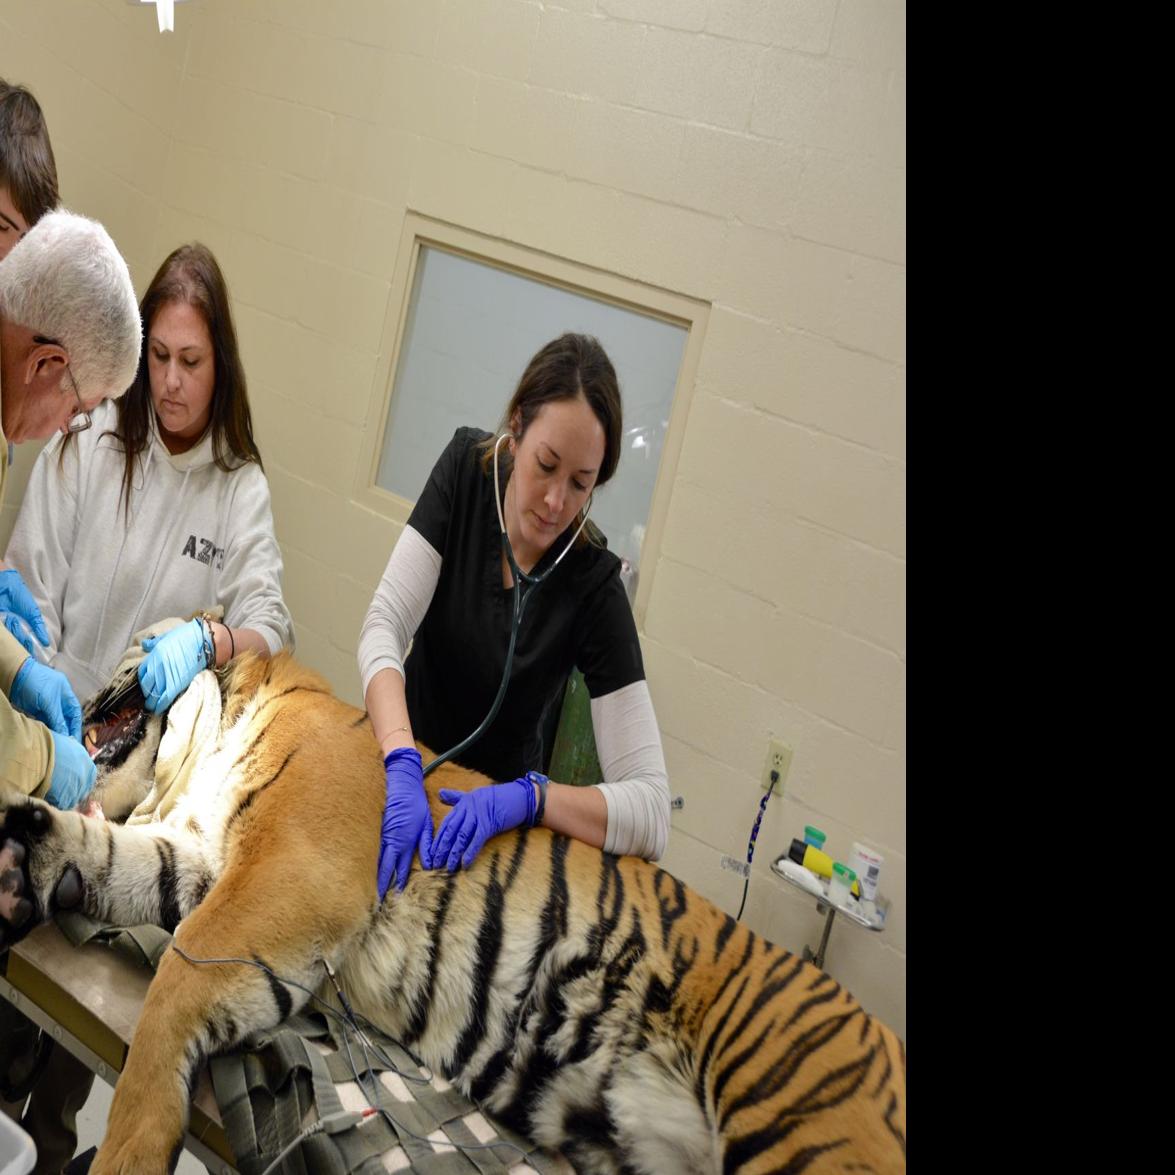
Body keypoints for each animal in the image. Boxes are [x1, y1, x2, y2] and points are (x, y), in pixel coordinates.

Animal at [0, 651, 906, 1174]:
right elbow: (116, 856)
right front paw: (29, 849)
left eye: (131, 652)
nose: (81, 692)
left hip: (805, 1124)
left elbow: (170, 994)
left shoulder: (284, 878)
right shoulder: (205, 861)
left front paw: (126, 1152)